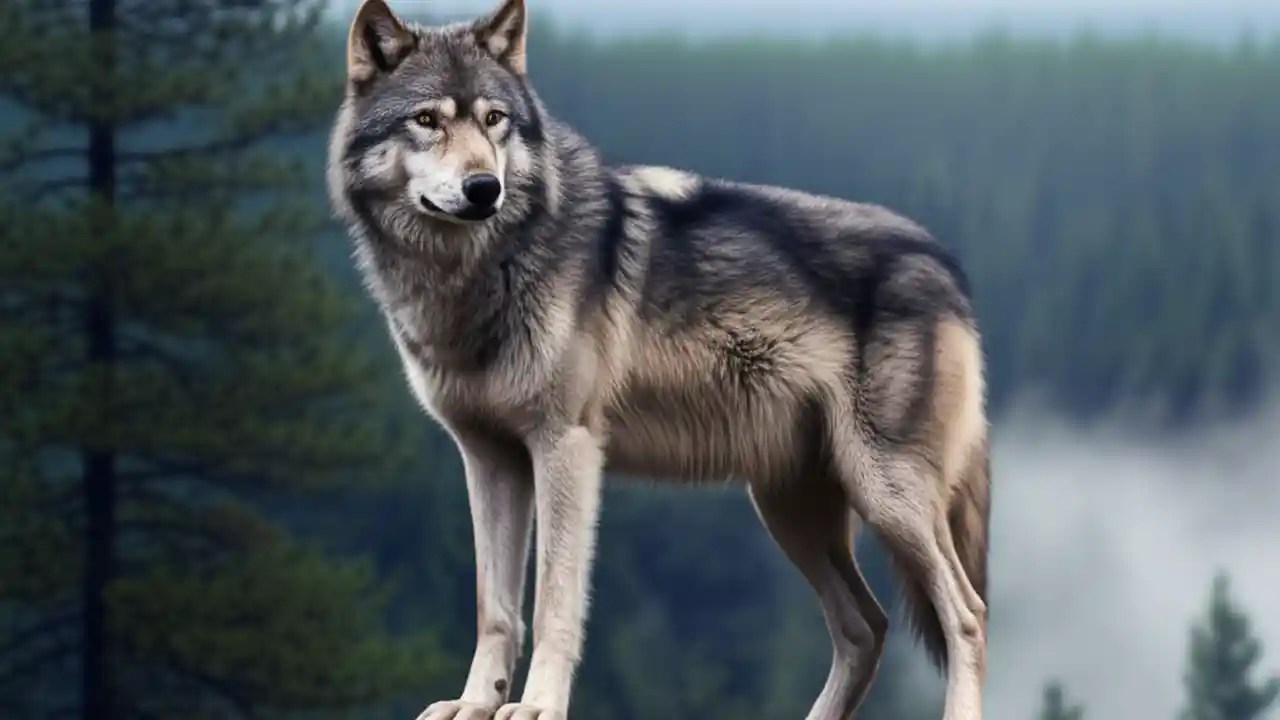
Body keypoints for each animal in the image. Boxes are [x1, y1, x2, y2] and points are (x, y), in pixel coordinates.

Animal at [327, 1, 991, 718]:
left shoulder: (566, 446)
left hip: (884, 495)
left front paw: (535, 705)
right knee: (865, 627)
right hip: (790, 508)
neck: (478, 271)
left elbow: (556, 599)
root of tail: (945, 264)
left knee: (966, 615)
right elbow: (495, 609)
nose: (484, 188)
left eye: (494, 119)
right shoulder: (488, 457)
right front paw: (477, 705)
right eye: (428, 120)